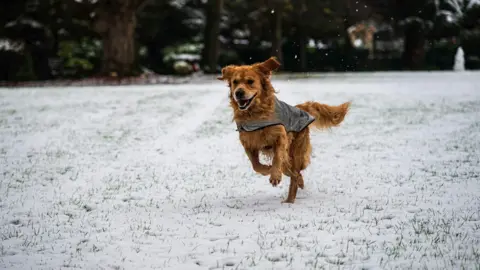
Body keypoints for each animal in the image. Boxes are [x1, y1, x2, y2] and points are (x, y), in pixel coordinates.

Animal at [218, 57, 348, 204]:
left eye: (250, 81)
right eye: (235, 82)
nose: (238, 93)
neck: (256, 116)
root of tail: (298, 108)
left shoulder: (280, 138)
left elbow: (277, 158)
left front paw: (274, 175)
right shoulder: (249, 144)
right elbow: (256, 166)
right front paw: (268, 170)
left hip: (296, 153)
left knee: (295, 173)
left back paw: (290, 199)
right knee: (293, 173)